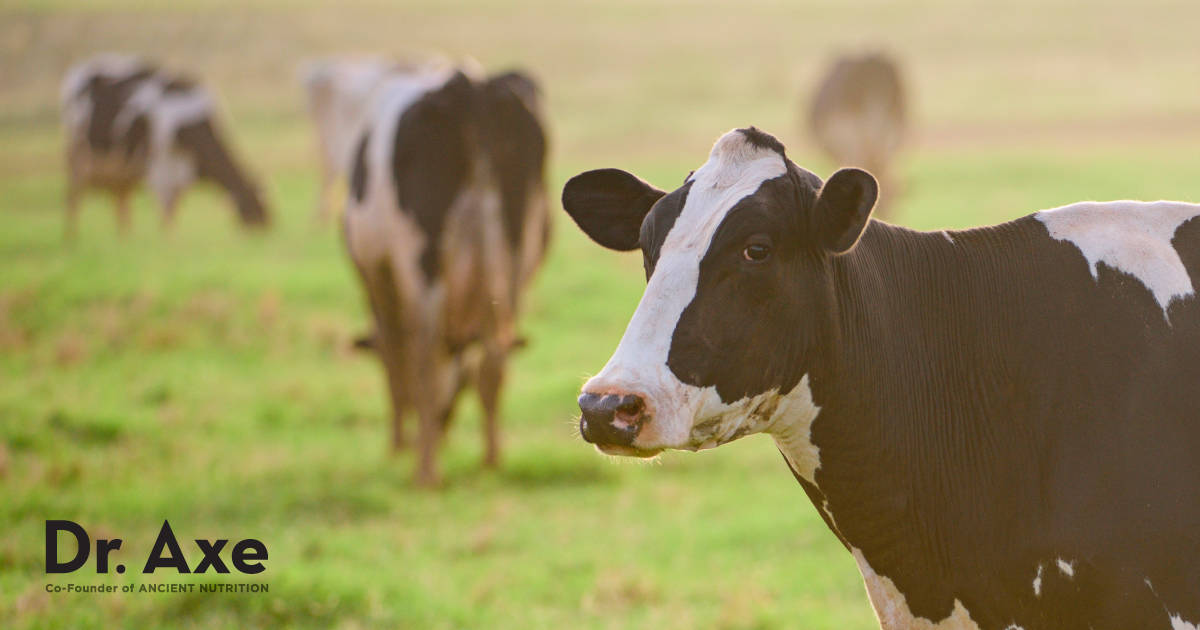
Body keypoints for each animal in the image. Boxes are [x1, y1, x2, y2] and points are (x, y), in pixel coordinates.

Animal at [60, 54, 269, 238]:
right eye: (254, 208)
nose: (268, 229)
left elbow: (172, 209)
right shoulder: (160, 168)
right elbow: (166, 213)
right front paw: (169, 244)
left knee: (120, 199)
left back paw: (123, 237)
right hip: (78, 155)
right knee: (74, 197)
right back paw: (73, 236)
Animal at [343, 64, 549, 486]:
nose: (444, 423)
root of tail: (469, 88)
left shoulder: (376, 278)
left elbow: (396, 363)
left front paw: (399, 445)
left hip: (423, 263)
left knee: (424, 356)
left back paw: (426, 472)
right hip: (513, 263)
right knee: (493, 362)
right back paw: (491, 460)